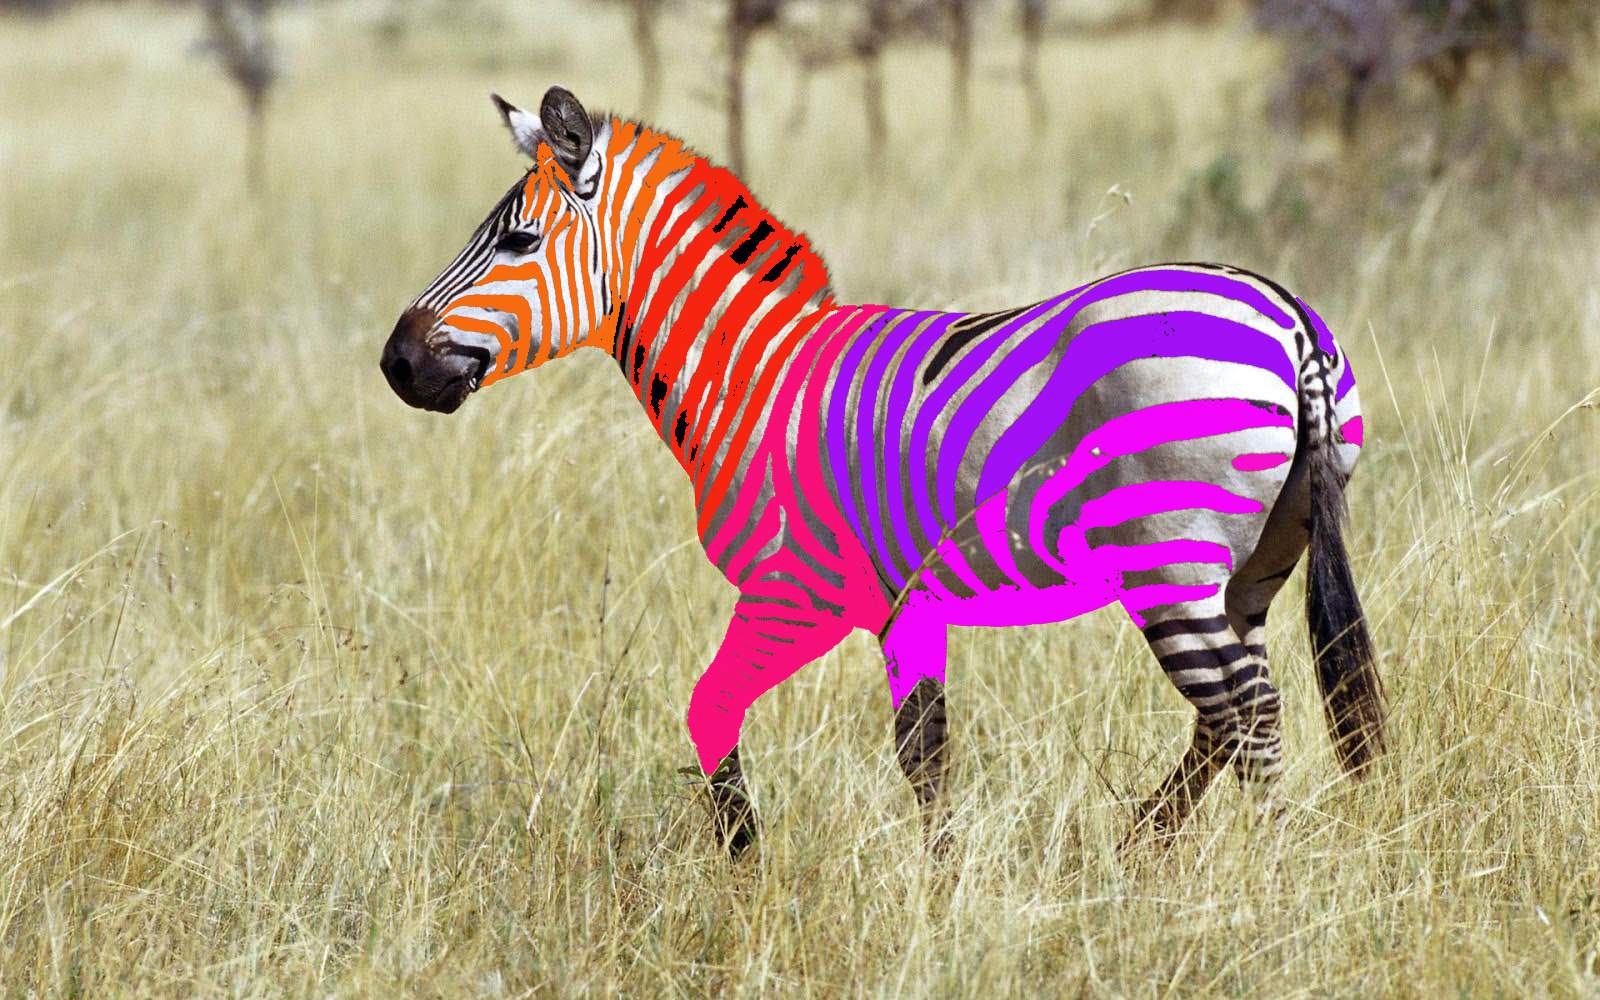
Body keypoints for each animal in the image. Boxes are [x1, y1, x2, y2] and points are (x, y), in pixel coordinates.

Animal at [381, 86, 1385, 855]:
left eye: (518, 243)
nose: (396, 364)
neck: (754, 375)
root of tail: (1289, 315)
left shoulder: (797, 589)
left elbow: (713, 709)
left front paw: (748, 865)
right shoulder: (908, 605)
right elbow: (926, 753)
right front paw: (941, 883)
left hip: (1167, 563)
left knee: (1250, 713)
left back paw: (1260, 875)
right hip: (1254, 564)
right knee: (1228, 715)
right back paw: (1140, 848)